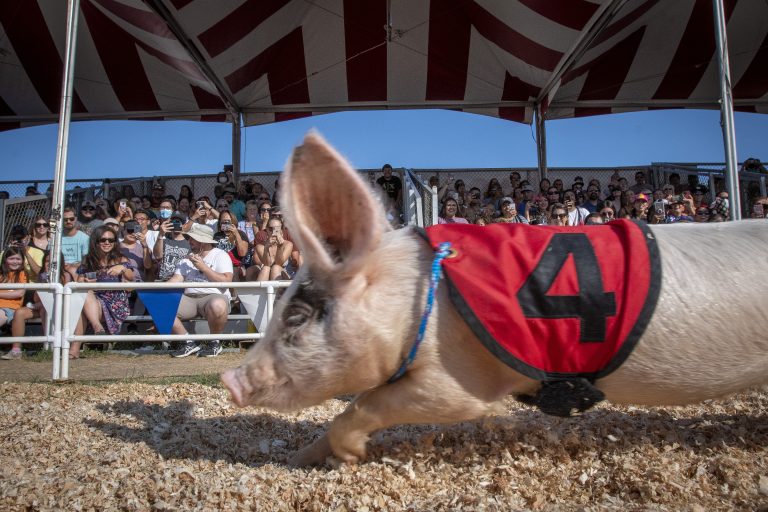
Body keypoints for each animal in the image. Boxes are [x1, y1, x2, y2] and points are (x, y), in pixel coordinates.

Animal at [222, 132, 768, 466]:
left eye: (297, 315)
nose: (231, 380)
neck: (417, 300)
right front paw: (298, 459)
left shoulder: (462, 377)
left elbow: (376, 403)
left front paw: (352, 456)